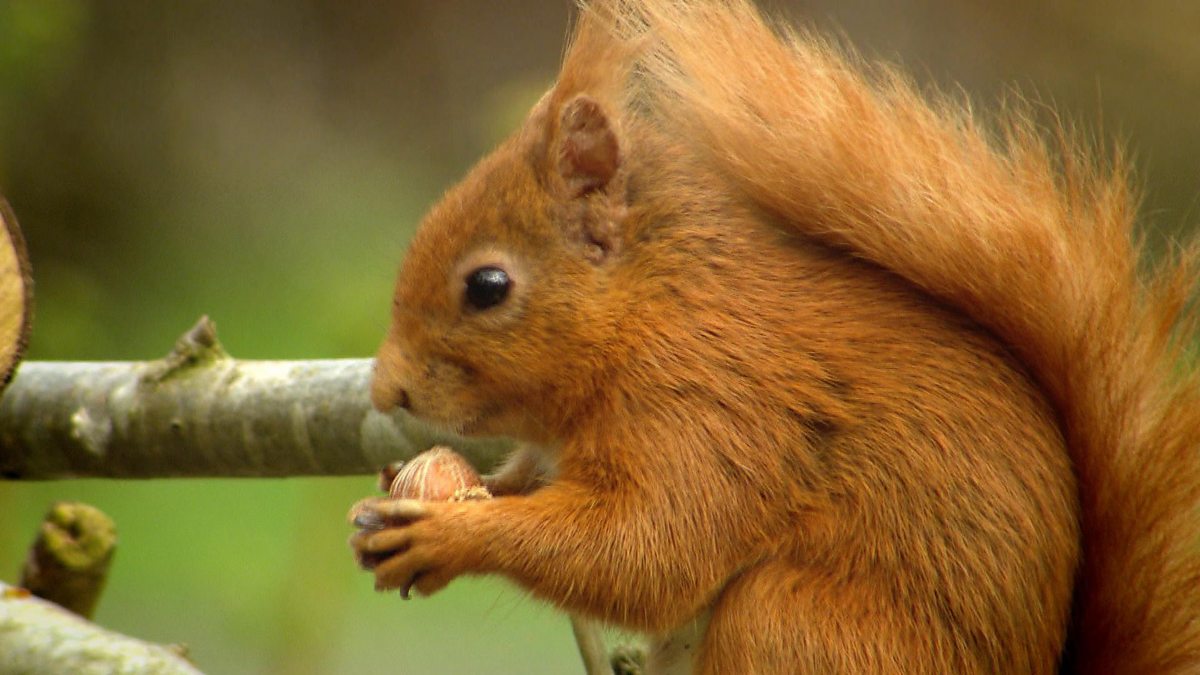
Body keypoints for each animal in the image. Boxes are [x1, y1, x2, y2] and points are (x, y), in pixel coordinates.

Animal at [351, 1, 1200, 672]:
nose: (385, 388)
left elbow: (645, 550)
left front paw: (454, 534)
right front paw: (417, 497)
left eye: (487, 287)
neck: (653, 307)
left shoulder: (711, 406)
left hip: (789, 622)